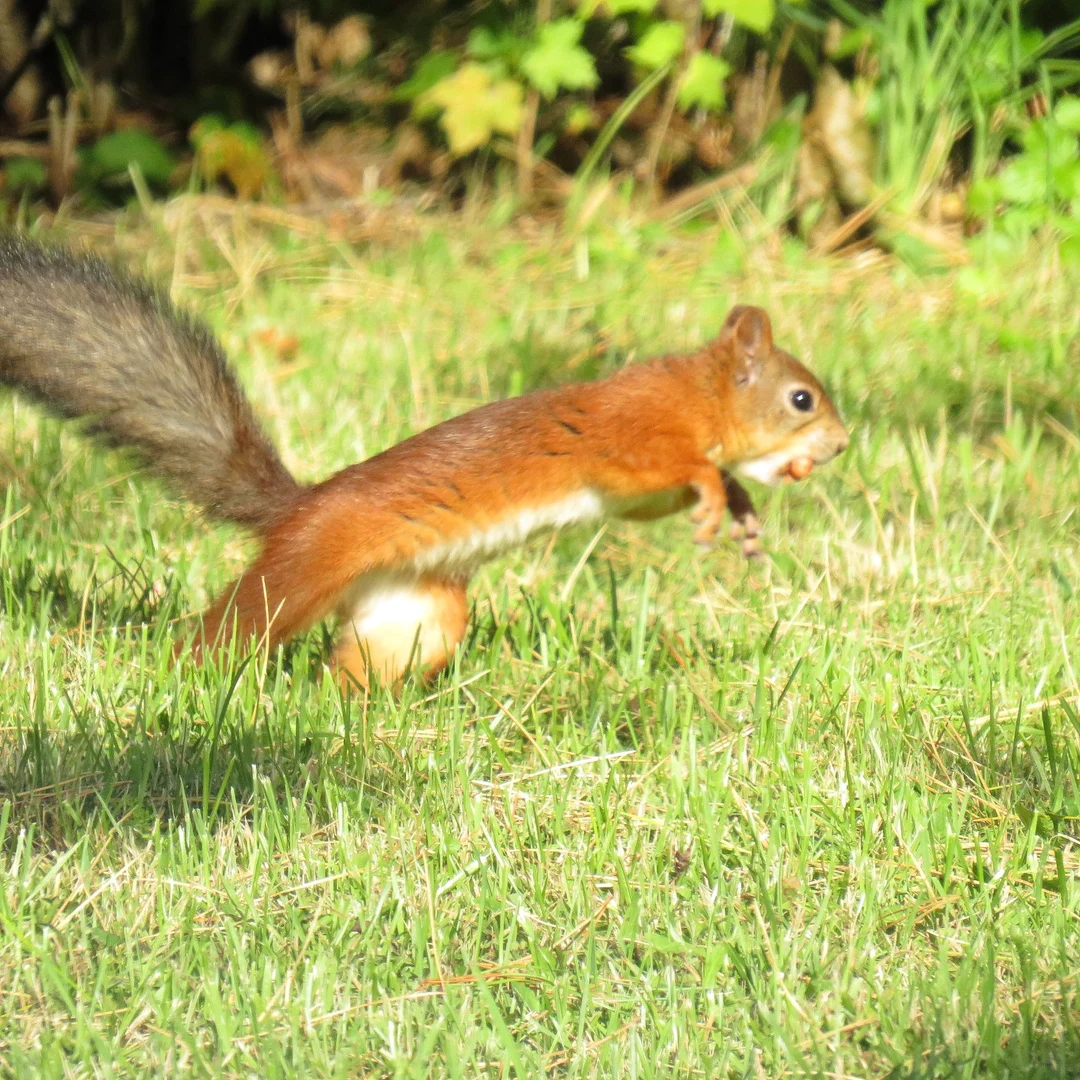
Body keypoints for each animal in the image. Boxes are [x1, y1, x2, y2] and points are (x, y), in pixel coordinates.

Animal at [0, 234, 849, 687]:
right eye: (802, 398)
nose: (841, 445)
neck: (693, 396)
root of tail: (297, 508)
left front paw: (741, 510)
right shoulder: (627, 433)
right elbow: (664, 471)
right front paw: (715, 495)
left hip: (416, 613)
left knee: (355, 667)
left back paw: (346, 713)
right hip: (303, 571)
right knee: (233, 630)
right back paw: (192, 679)